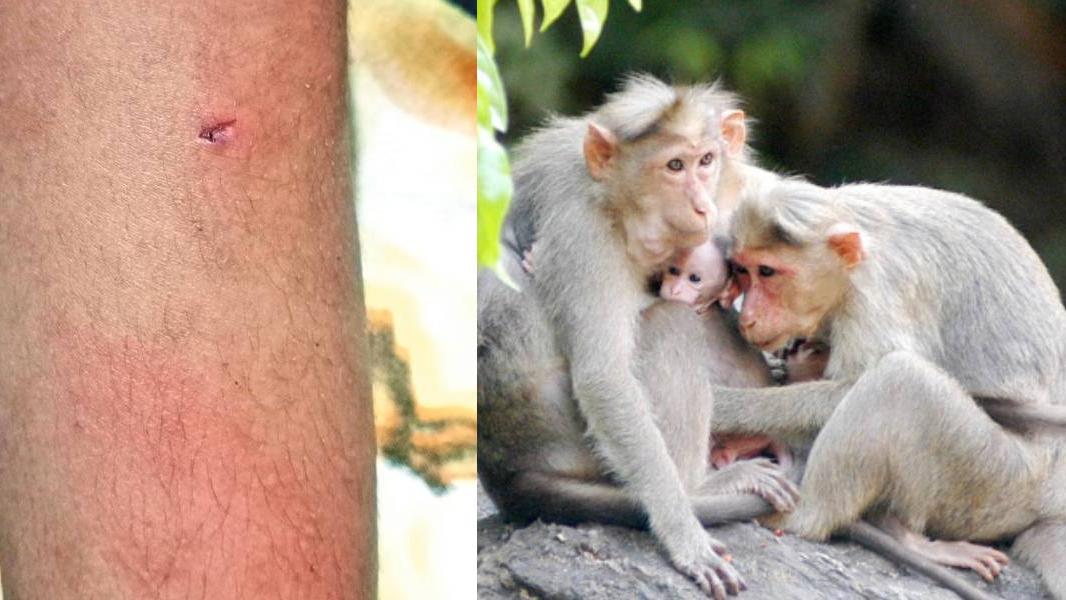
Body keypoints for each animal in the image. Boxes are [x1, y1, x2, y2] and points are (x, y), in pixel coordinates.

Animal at [477, 75, 804, 599]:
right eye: (673, 166)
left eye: (705, 161)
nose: (701, 205)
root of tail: (504, 471)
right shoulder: (583, 235)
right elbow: (604, 377)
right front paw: (684, 535)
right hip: (574, 443)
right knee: (671, 324)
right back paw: (700, 488)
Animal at [709, 177, 1066, 598]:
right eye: (741, 270)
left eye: (767, 271)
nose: (747, 317)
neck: (855, 254)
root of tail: (1051, 502)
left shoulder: (878, 293)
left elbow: (855, 382)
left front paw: (725, 407)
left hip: (1000, 482)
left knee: (899, 380)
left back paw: (812, 517)